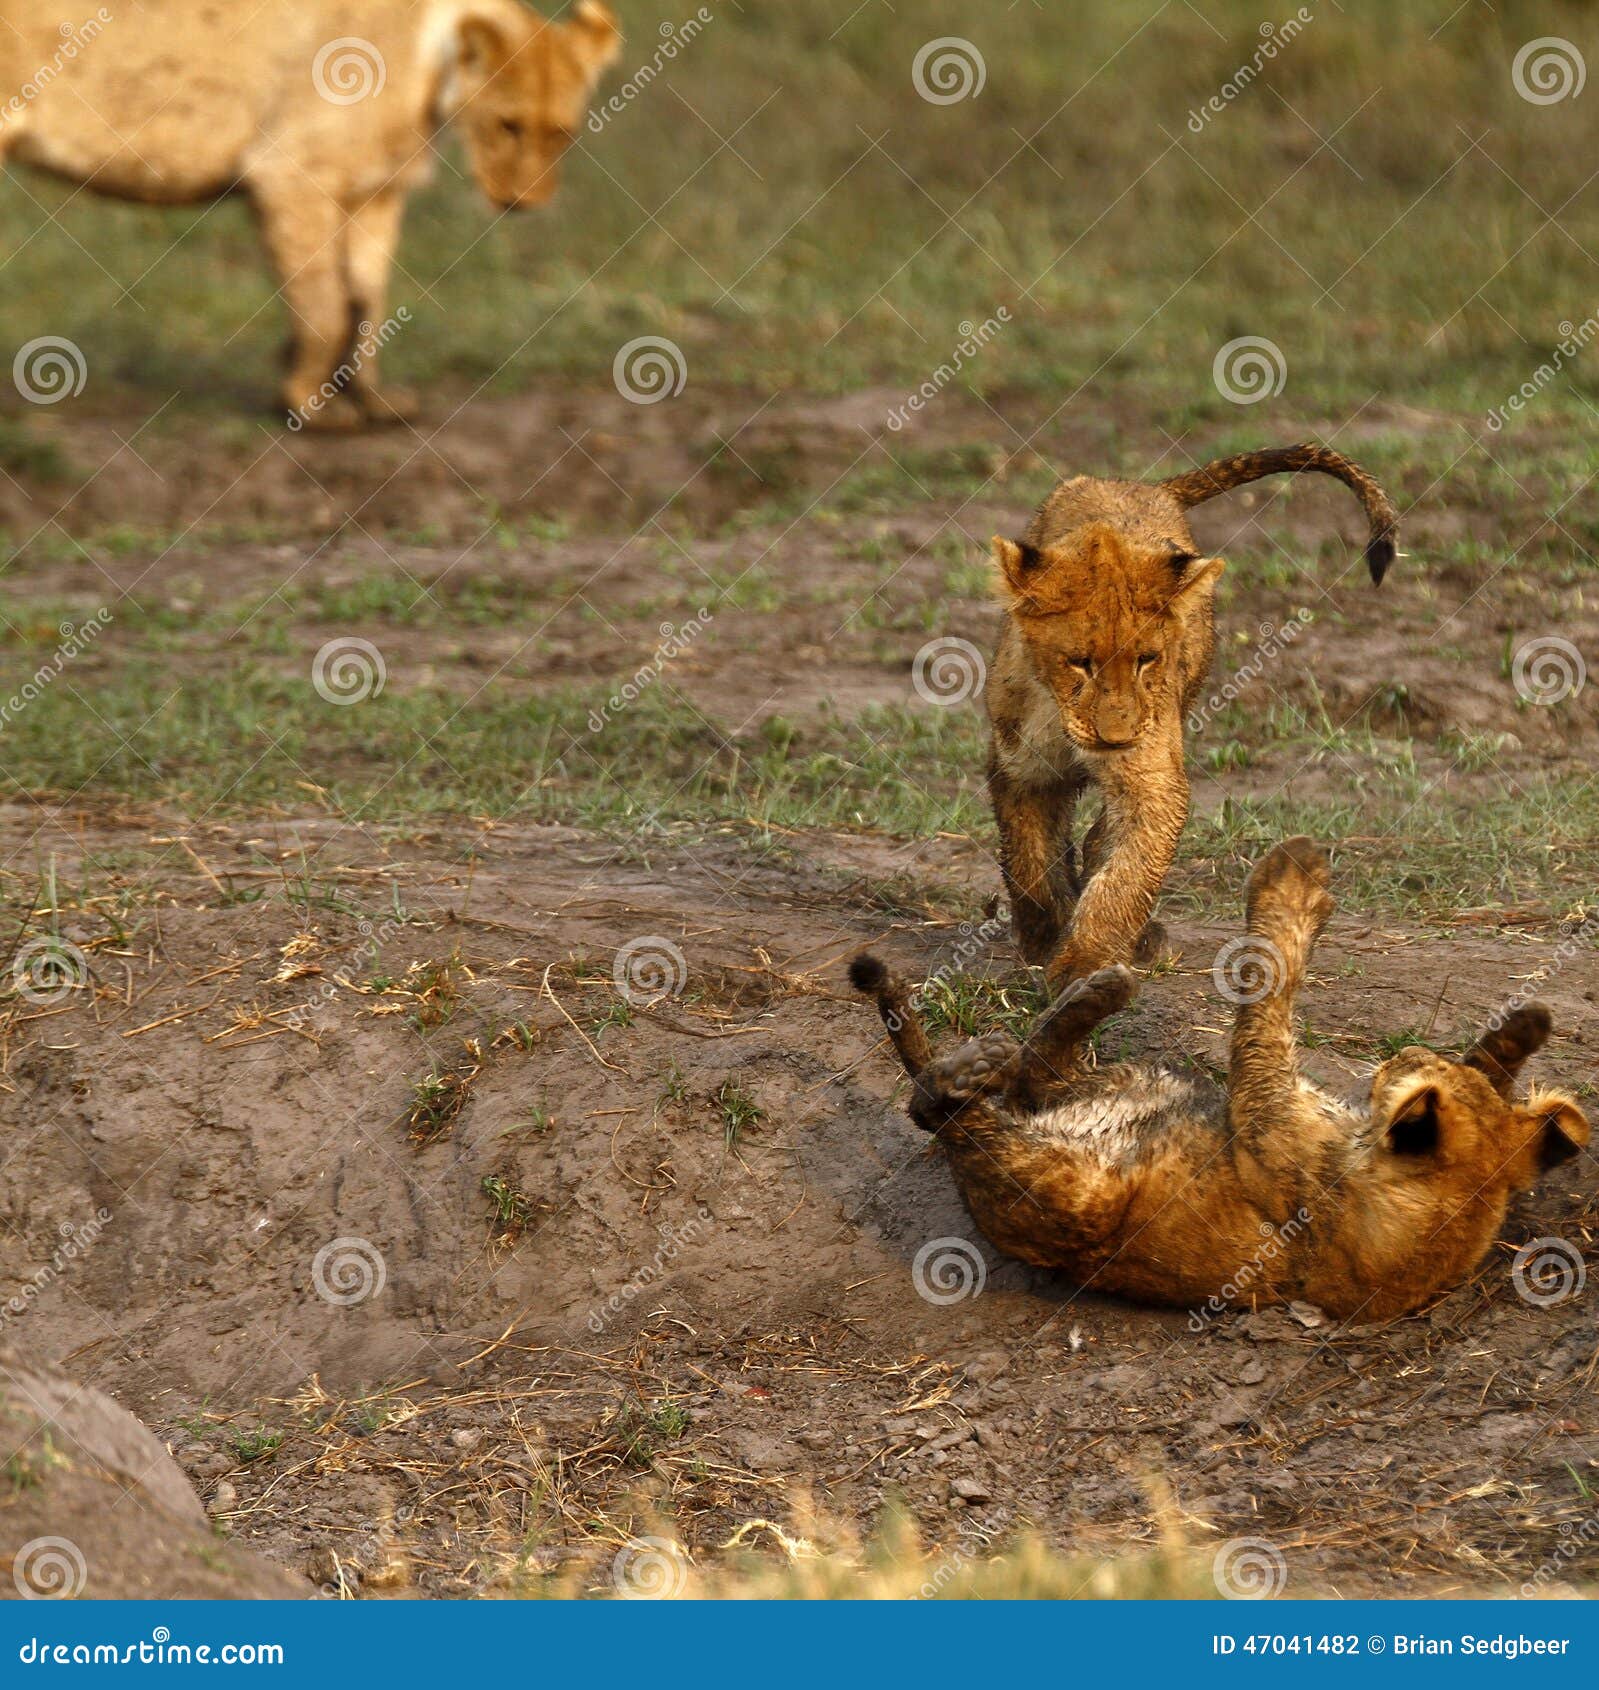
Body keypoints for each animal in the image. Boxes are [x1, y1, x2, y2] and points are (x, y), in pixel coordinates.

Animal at [0, 0, 622, 426]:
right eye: (509, 125)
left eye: (562, 133)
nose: (524, 203)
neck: (431, 68)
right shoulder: (291, 173)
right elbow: (325, 307)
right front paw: (311, 407)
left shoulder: (375, 192)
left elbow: (366, 298)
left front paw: (373, 401)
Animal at [851, 837, 1589, 1323]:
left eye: (1397, 1068)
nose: (1393, 1058)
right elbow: (1492, 1082)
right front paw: (1523, 1027)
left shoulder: (1269, 1127)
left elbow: (1266, 1009)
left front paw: (1291, 880)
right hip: (1136, 1081)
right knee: (1036, 1071)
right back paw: (1091, 995)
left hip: (1067, 1195)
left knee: (951, 1116)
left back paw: (972, 1064)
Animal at [986, 443, 1399, 985]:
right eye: (1079, 661)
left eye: (1147, 659)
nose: (1116, 737)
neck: (1057, 709)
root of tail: (1138, 486)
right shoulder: (1023, 767)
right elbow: (1029, 862)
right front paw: (1044, 937)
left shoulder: (1152, 772)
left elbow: (1126, 876)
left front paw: (1086, 969)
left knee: (1105, 840)